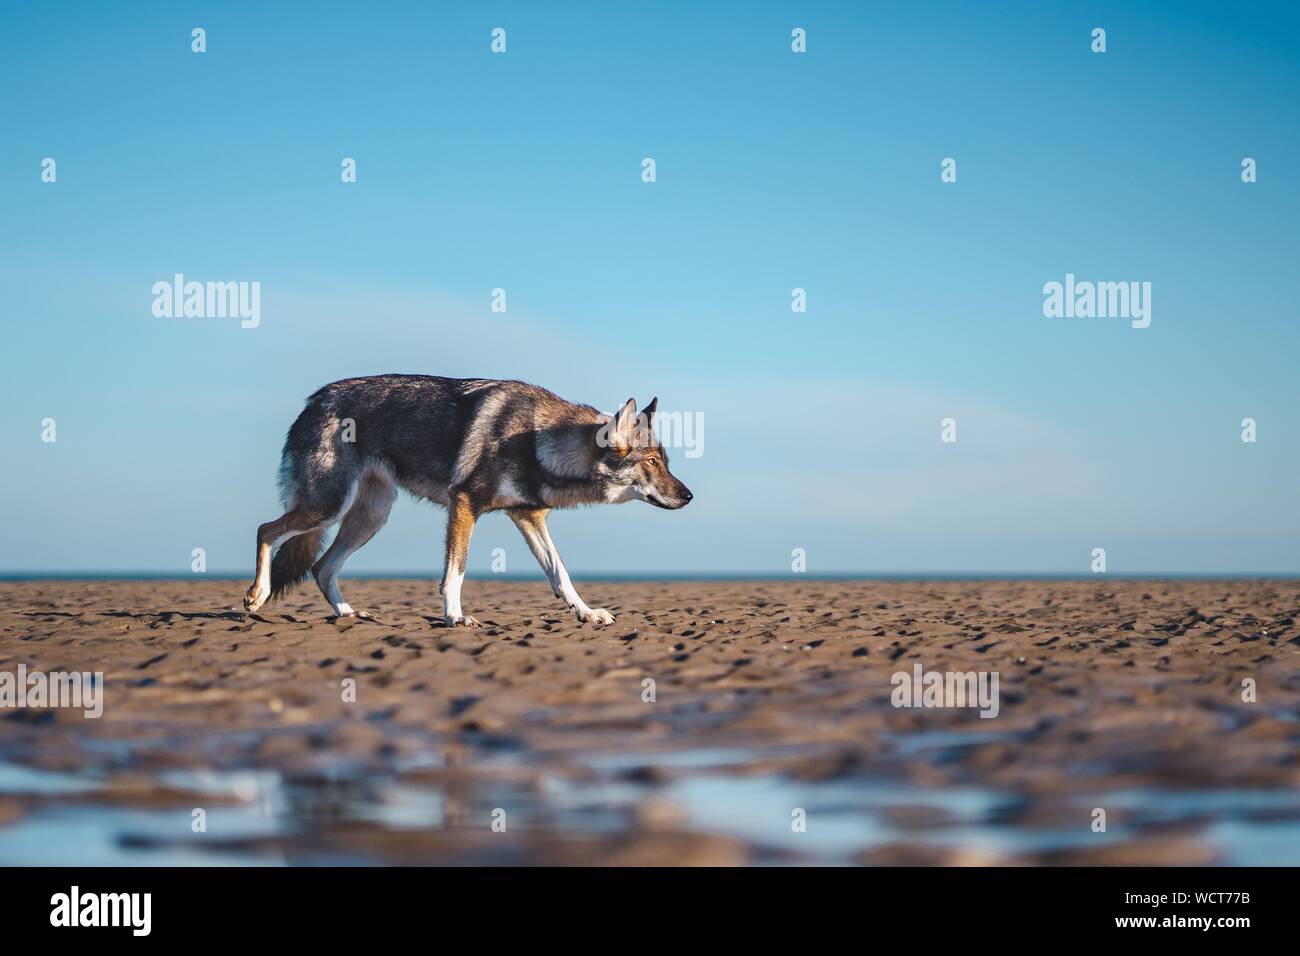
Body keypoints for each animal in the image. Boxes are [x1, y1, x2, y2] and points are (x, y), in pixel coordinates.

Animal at [242, 375, 693, 627]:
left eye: (665, 462)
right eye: (652, 462)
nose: (689, 496)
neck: (537, 440)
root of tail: (313, 401)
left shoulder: (529, 517)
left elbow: (560, 574)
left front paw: (586, 613)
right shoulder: (464, 505)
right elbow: (455, 572)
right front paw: (455, 617)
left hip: (370, 516)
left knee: (321, 567)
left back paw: (349, 614)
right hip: (327, 506)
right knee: (266, 531)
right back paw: (256, 596)